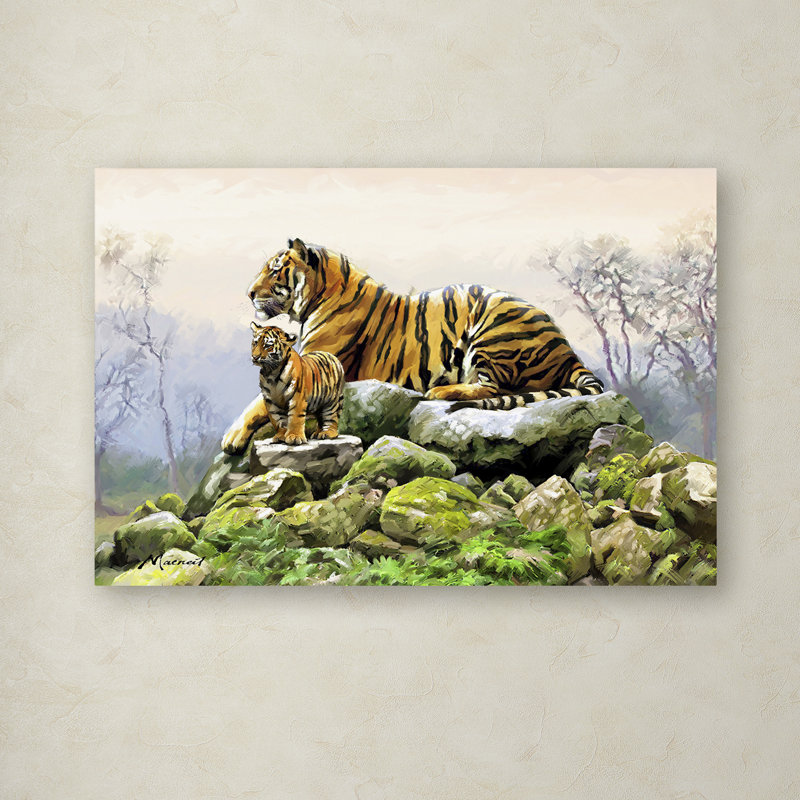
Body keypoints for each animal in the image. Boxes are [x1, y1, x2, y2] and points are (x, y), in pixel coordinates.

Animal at [222, 237, 603, 454]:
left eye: (275, 271)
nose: (249, 294)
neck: (320, 294)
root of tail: (567, 349)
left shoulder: (313, 362)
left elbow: (259, 403)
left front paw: (232, 437)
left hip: (492, 328)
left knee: (493, 387)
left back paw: (439, 392)